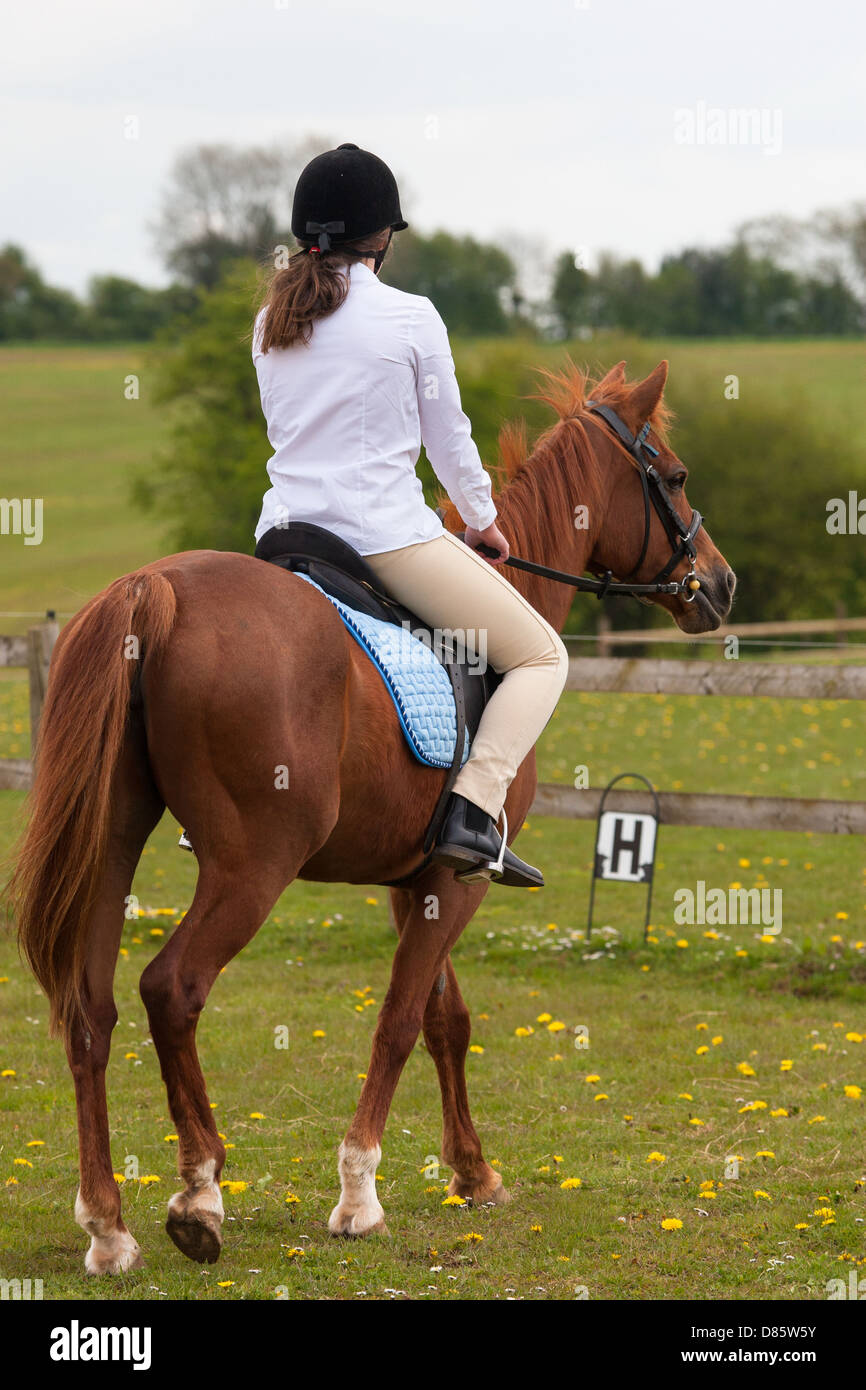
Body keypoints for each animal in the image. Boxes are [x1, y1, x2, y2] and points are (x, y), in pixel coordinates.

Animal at [7, 357, 735, 1274]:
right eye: (673, 476)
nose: (720, 584)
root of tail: (155, 587)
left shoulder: (416, 877)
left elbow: (445, 1020)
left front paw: (474, 1173)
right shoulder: (459, 880)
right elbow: (398, 1022)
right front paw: (358, 1194)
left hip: (110, 848)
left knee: (88, 1013)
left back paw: (108, 1225)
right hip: (252, 866)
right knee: (172, 989)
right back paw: (200, 1194)